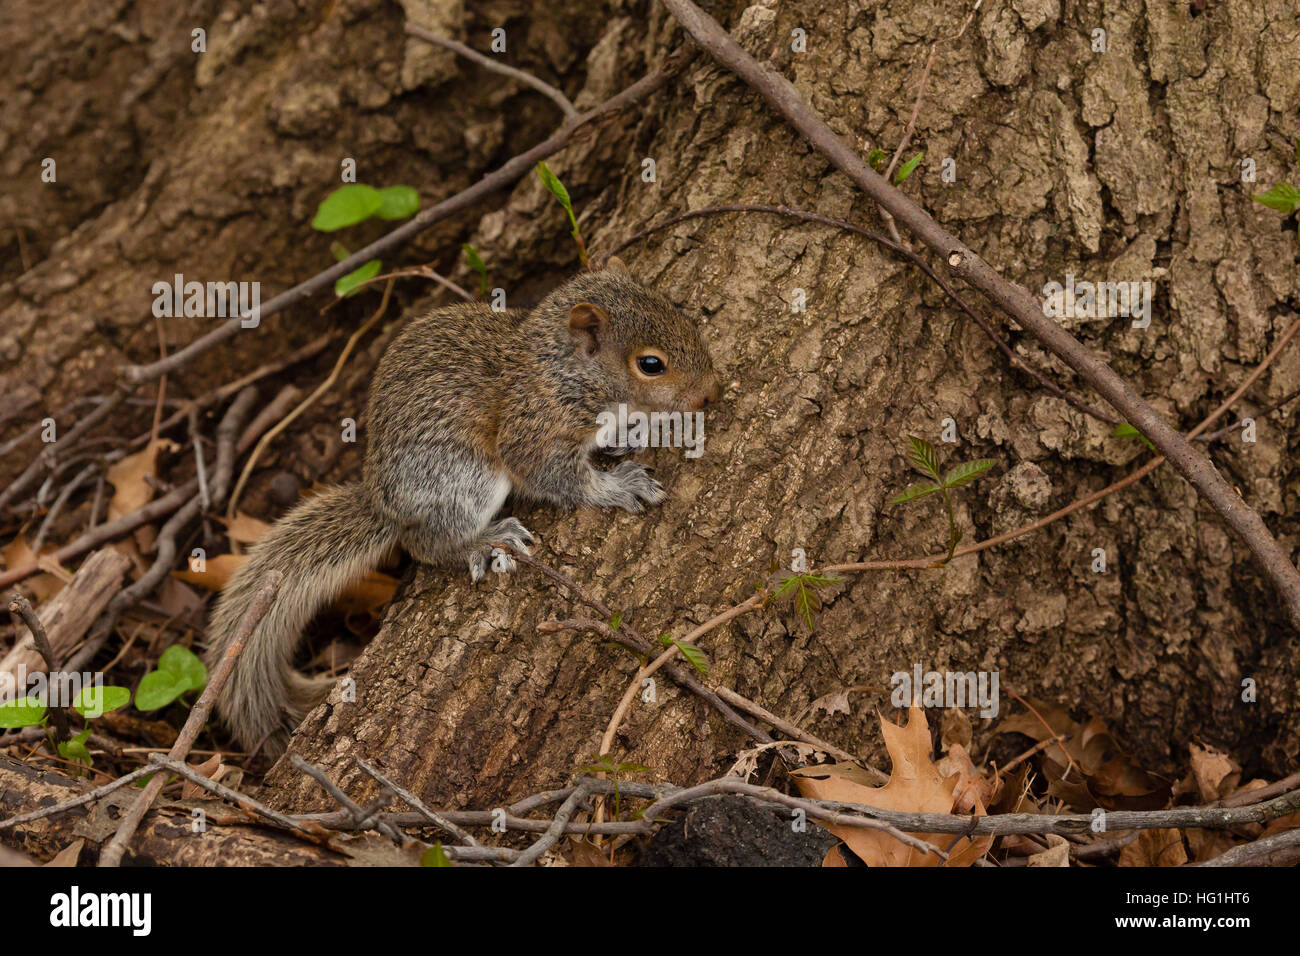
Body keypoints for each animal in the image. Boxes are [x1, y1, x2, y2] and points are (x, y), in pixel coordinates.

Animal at [205, 258, 722, 755]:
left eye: (681, 313)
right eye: (650, 364)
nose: (710, 393)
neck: (564, 372)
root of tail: (381, 504)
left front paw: (629, 436)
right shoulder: (533, 426)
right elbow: (557, 476)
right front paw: (618, 485)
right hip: (465, 476)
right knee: (426, 543)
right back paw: (482, 540)